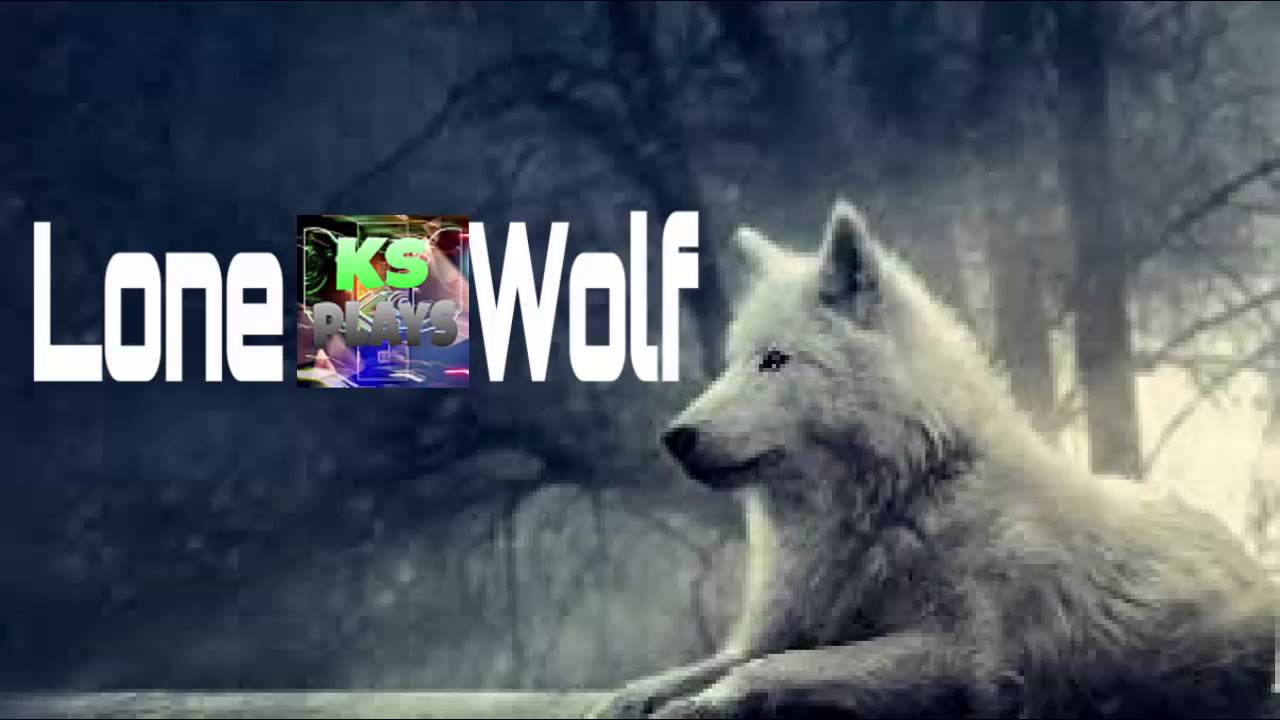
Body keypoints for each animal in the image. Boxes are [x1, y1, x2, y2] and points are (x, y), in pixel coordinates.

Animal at [589, 200, 1276, 719]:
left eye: (775, 360)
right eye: (732, 361)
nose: (674, 436)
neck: (902, 494)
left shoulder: (954, 655)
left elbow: (770, 670)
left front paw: (696, 706)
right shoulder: (782, 626)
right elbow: (689, 670)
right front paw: (632, 699)